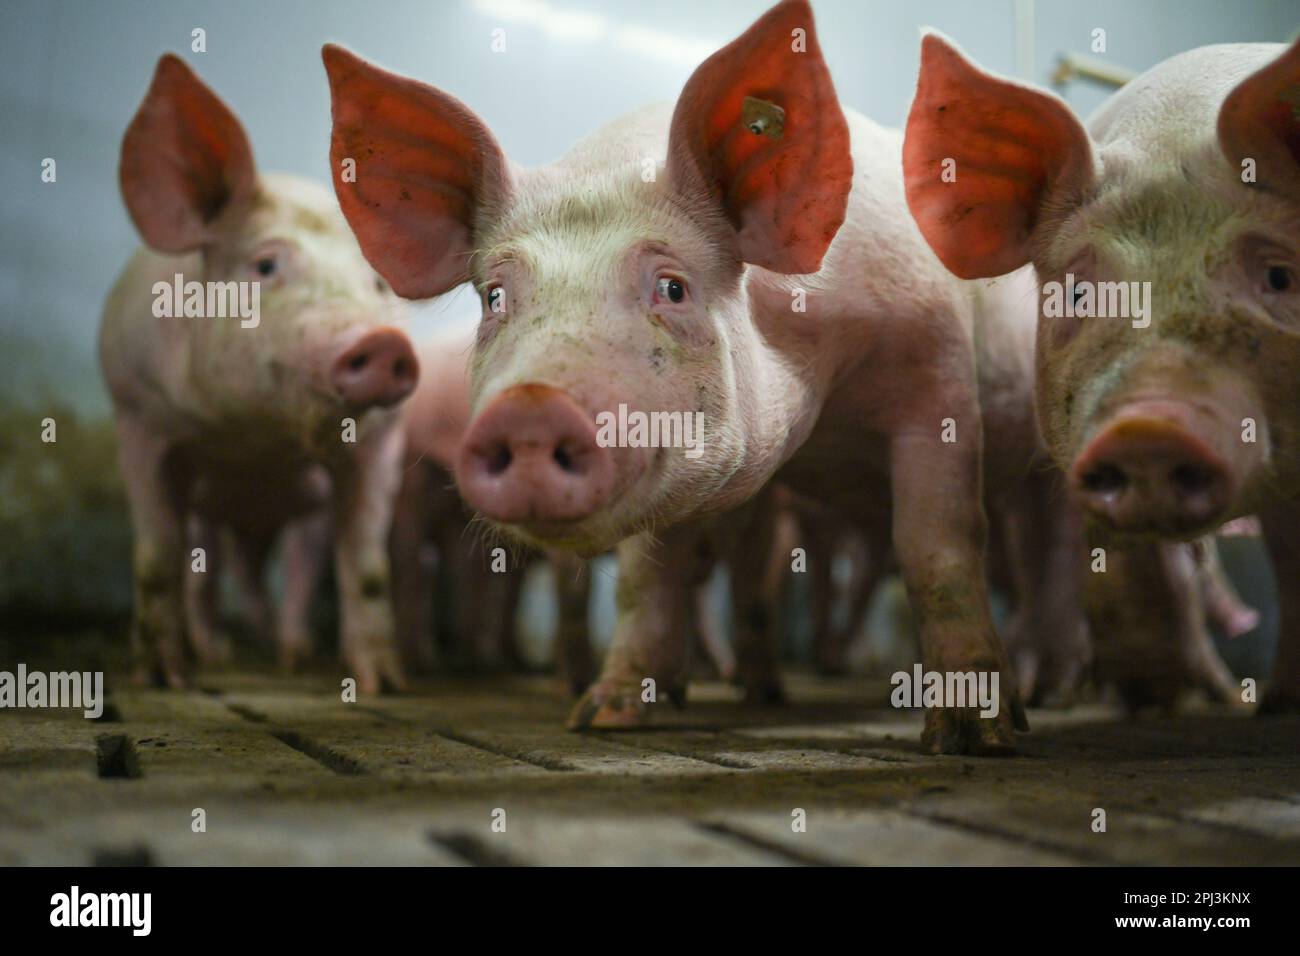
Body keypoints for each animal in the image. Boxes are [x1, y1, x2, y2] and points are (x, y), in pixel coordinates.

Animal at [100, 54, 418, 693]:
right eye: (266, 265)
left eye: (375, 284)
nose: (384, 340)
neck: (255, 441)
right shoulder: (136, 412)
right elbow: (156, 554)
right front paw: (159, 679)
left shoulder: (383, 440)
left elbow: (367, 564)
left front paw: (386, 685)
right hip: (208, 516)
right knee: (203, 569)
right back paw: (212, 656)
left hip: (299, 513)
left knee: (288, 569)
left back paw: (291, 656)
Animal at [317, 0, 1112, 753]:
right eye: (494, 297)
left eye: (672, 287)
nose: (531, 409)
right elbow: (649, 571)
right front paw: (603, 715)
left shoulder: (935, 369)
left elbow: (936, 545)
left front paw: (975, 737)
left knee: (1052, 554)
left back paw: (1050, 690)